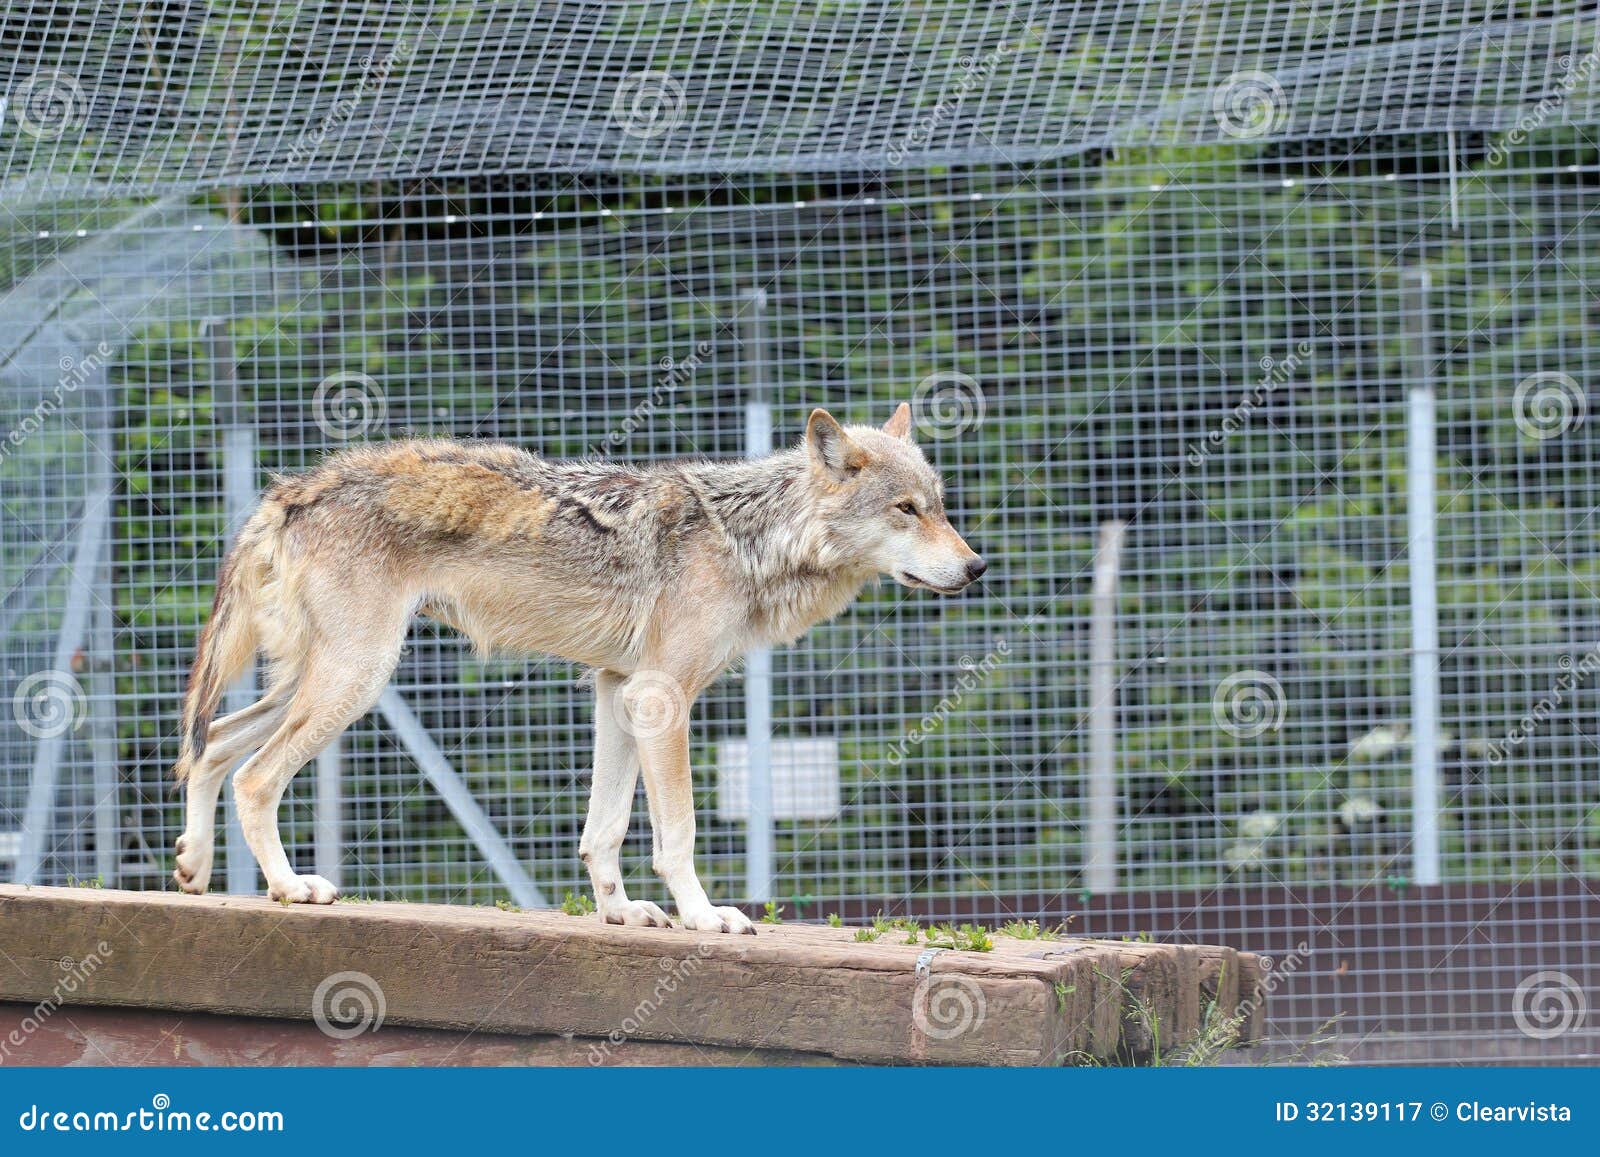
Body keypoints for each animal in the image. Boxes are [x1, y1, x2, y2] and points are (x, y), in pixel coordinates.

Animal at [172, 404, 985, 933]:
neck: (750, 539)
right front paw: (704, 916)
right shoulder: (662, 698)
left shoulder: (619, 691)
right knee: (253, 777)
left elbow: (605, 826)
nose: (977, 567)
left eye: (941, 506)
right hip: (356, 680)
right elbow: (678, 832)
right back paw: (288, 888)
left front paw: (619, 911)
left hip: (315, 683)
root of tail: (292, 488)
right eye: (906, 510)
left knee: (211, 746)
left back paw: (193, 871)